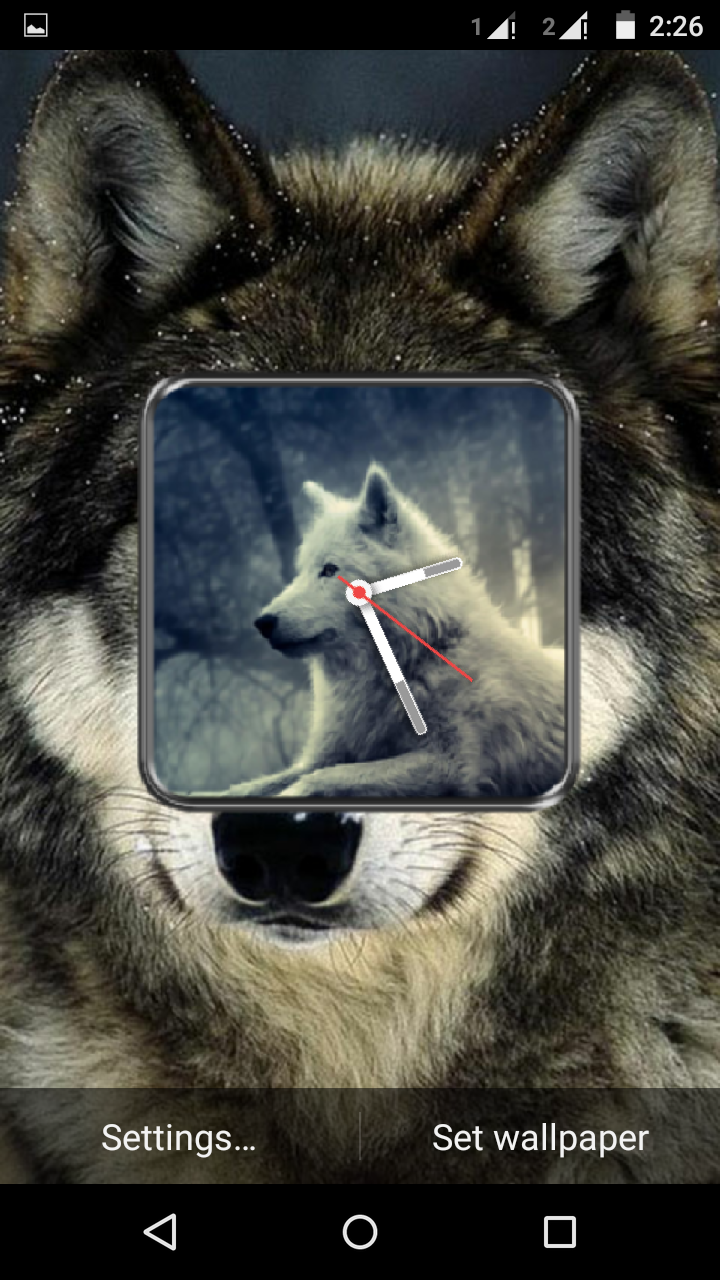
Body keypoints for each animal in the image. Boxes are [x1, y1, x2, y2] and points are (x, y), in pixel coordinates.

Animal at [234, 461, 565, 799]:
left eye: (329, 570)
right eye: (300, 572)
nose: (262, 622)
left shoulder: (450, 765)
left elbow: (321, 779)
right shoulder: (321, 756)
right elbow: (251, 786)